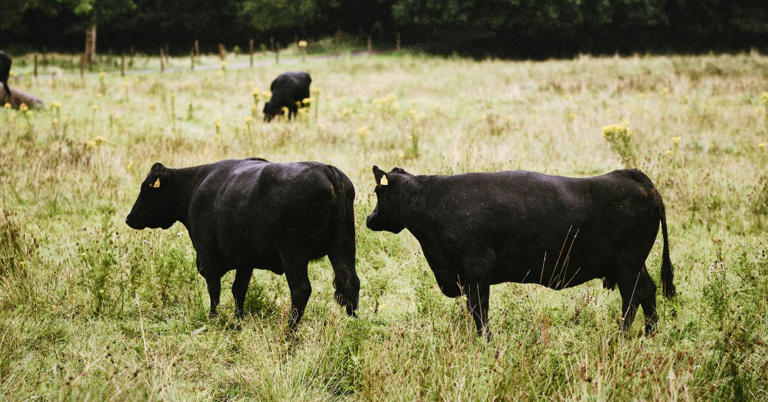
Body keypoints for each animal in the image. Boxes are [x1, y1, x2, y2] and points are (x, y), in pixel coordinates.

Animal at [126, 158, 360, 329]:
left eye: (146, 189)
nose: (129, 218)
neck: (195, 187)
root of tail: (328, 171)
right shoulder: (245, 260)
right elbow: (239, 290)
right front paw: (238, 319)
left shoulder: (207, 255)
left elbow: (215, 290)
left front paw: (213, 318)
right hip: (343, 248)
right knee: (351, 283)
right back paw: (354, 325)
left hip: (293, 254)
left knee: (301, 290)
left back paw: (289, 331)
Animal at [366, 166, 676, 338]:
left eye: (379, 193)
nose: (369, 219)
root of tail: (631, 176)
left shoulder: (476, 273)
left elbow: (479, 312)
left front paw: (485, 341)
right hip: (634, 265)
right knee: (648, 292)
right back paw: (650, 334)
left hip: (627, 266)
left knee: (633, 298)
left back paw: (622, 337)